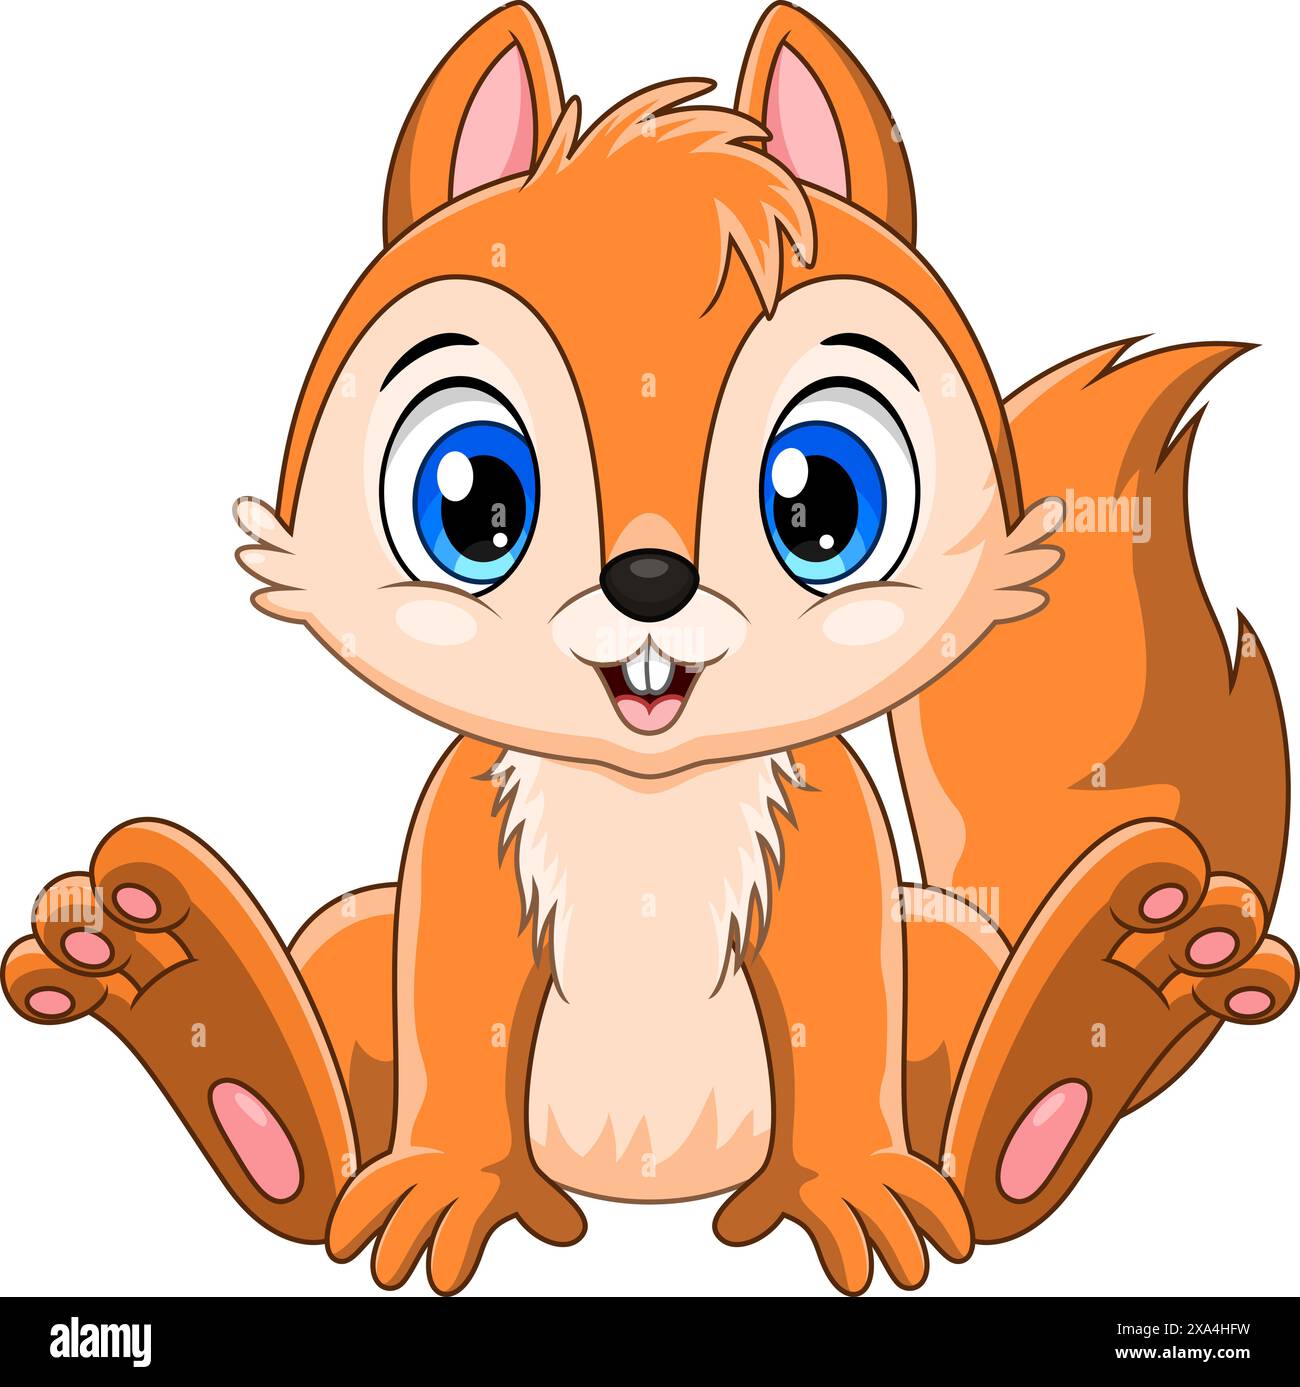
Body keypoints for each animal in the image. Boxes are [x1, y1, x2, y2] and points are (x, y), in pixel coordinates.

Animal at [5, 3, 1293, 1296]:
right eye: (473, 499)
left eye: (824, 501)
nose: (649, 581)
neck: (646, 804)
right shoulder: (461, 848)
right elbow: (456, 1023)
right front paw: (448, 1183)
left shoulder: (831, 849)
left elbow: (838, 1024)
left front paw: (850, 1185)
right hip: (357, 942)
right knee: (323, 1109)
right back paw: (187, 999)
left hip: (941, 953)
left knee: (984, 1149)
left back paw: (1117, 992)